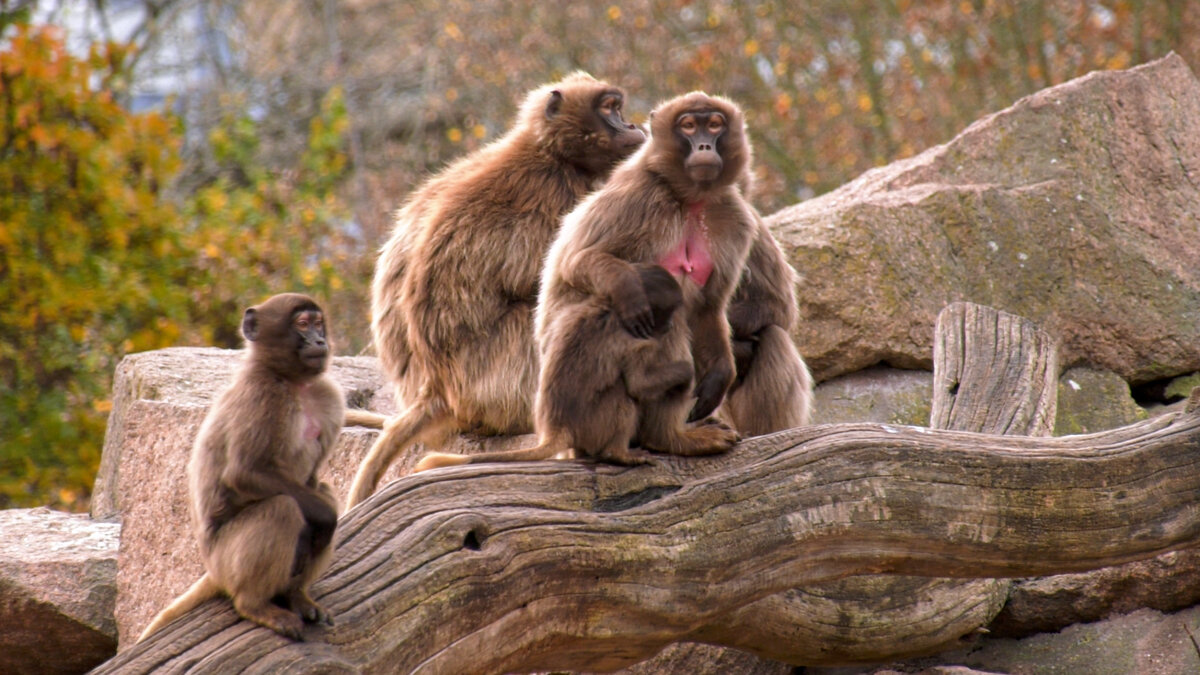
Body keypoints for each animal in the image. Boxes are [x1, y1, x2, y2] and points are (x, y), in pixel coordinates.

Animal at [139, 293, 344, 642]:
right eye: (303, 324)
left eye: (318, 323)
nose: (320, 341)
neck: (292, 383)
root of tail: (211, 569)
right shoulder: (262, 397)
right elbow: (245, 473)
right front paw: (323, 523)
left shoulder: (327, 398)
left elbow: (314, 483)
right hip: (225, 560)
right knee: (283, 508)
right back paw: (256, 605)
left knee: (323, 492)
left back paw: (296, 596)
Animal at [345, 72, 645, 506]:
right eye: (610, 109)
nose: (634, 125)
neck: (550, 154)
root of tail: (440, 390)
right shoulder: (560, 193)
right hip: (494, 381)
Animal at [413, 91, 758, 471]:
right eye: (689, 125)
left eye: (714, 124)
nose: (704, 145)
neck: (689, 200)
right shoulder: (636, 197)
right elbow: (575, 262)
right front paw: (627, 290)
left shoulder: (731, 215)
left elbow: (710, 307)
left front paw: (719, 378)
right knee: (654, 318)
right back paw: (668, 438)